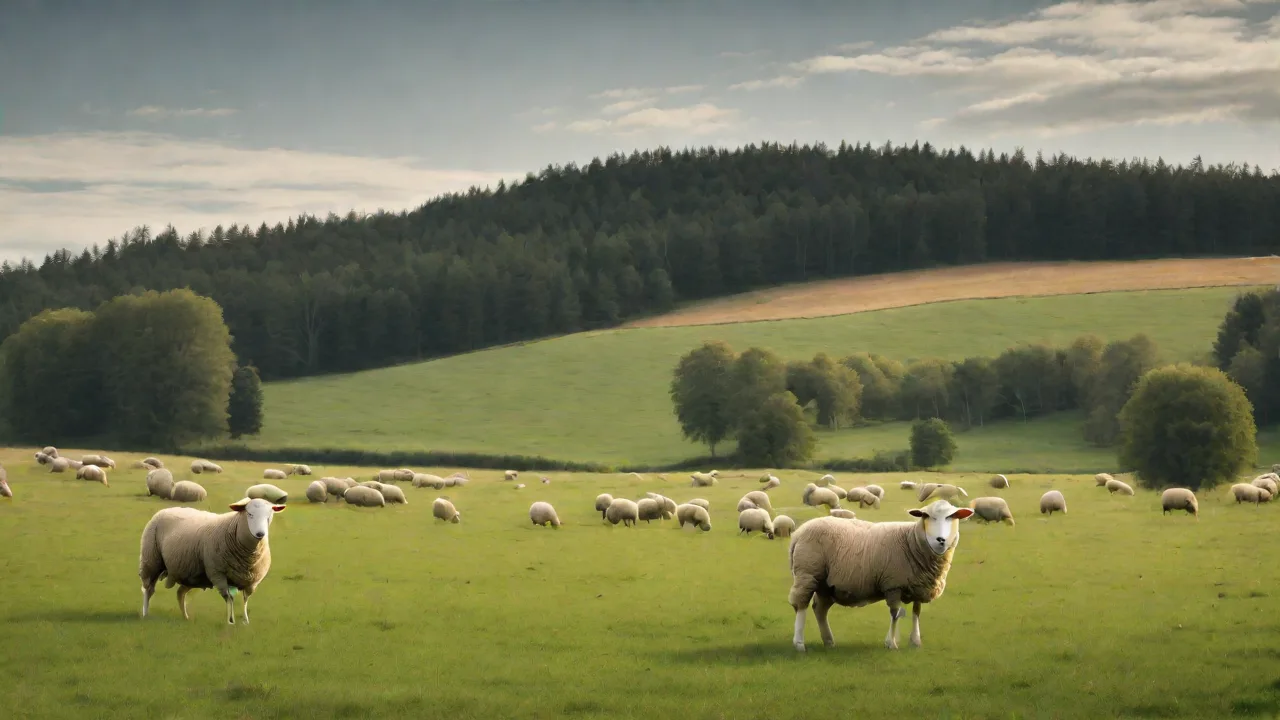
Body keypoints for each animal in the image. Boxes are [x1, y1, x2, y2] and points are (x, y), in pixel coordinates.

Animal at [138, 496, 286, 624]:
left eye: (269, 515)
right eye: (249, 514)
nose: (260, 534)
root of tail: (167, 509)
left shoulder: (252, 581)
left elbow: (245, 601)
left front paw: (246, 621)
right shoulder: (217, 574)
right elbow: (229, 599)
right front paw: (230, 621)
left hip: (191, 573)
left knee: (180, 593)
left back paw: (185, 617)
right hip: (151, 560)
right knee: (148, 589)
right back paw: (145, 614)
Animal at [787, 499, 975, 652]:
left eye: (952, 516)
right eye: (926, 516)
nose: (940, 539)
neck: (911, 541)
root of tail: (798, 533)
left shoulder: (918, 585)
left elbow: (916, 612)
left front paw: (915, 641)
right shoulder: (893, 585)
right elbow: (895, 614)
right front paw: (891, 643)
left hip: (826, 584)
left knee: (820, 609)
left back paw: (829, 641)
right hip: (808, 573)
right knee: (801, 605)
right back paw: (799, 643)